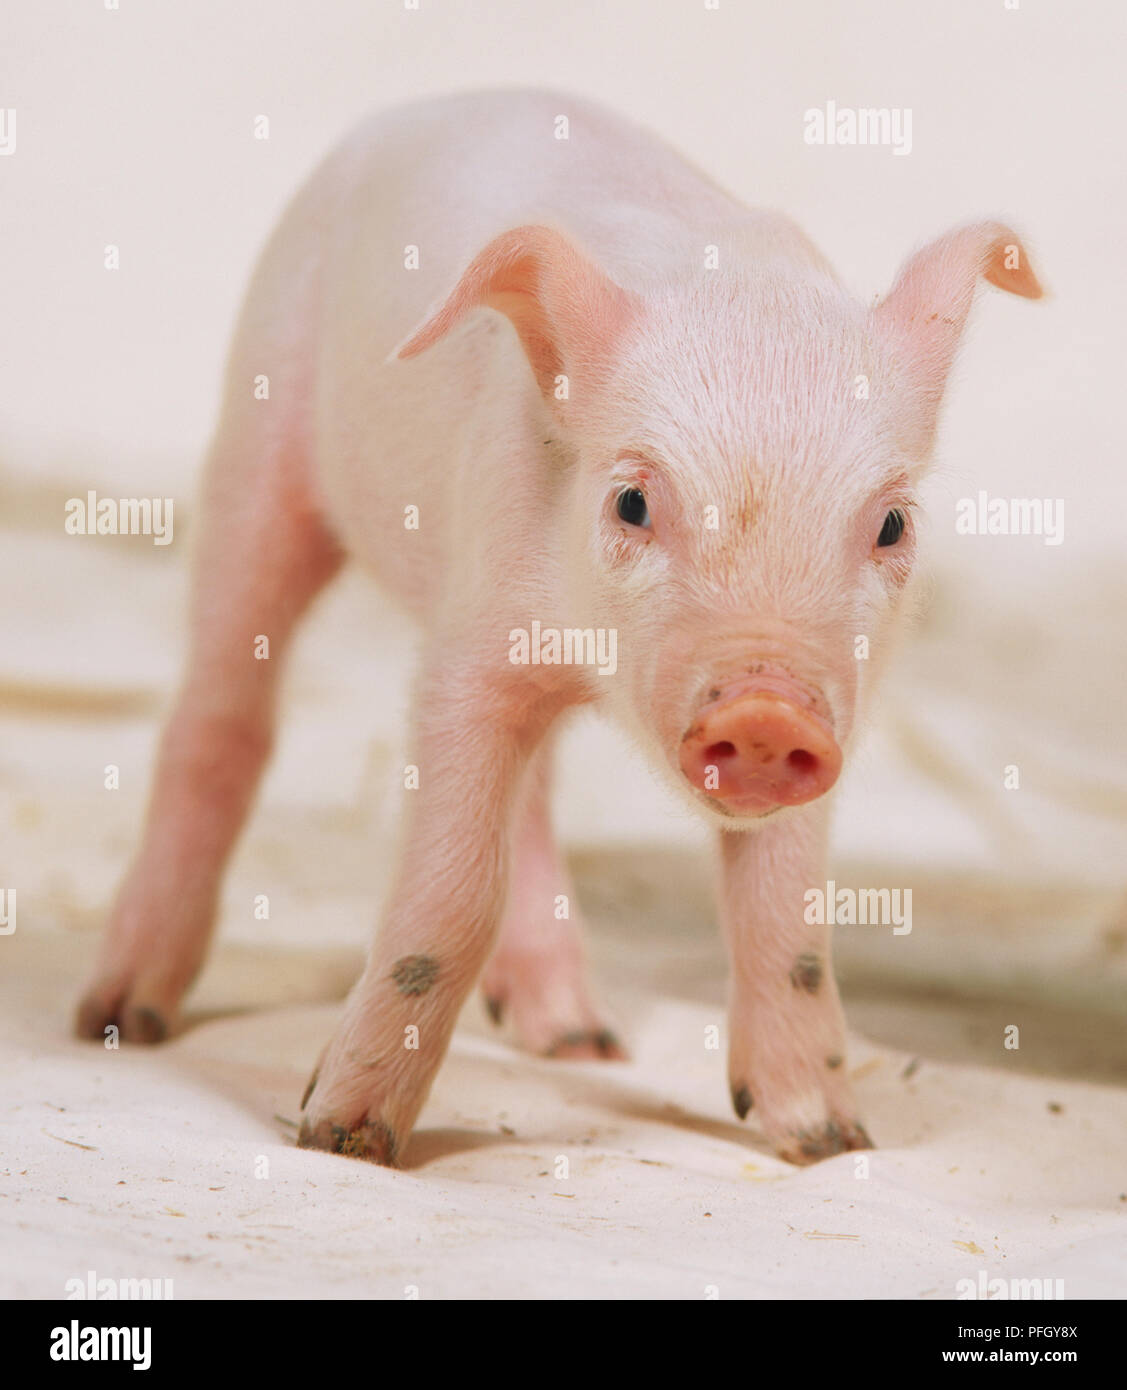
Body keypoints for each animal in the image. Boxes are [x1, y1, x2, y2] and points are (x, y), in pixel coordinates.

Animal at [74, 89, 1042, 1165]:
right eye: (631, 501)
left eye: (891, 524)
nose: (764, 710)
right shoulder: (467, 648)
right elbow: (456, 887)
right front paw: (340, 1134)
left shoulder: (842, 700)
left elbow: (785, 912)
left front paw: (828, 1140)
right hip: (262, 424)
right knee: (222, 712)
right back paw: (118, 1017)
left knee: (531, 795)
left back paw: (580, 1040)